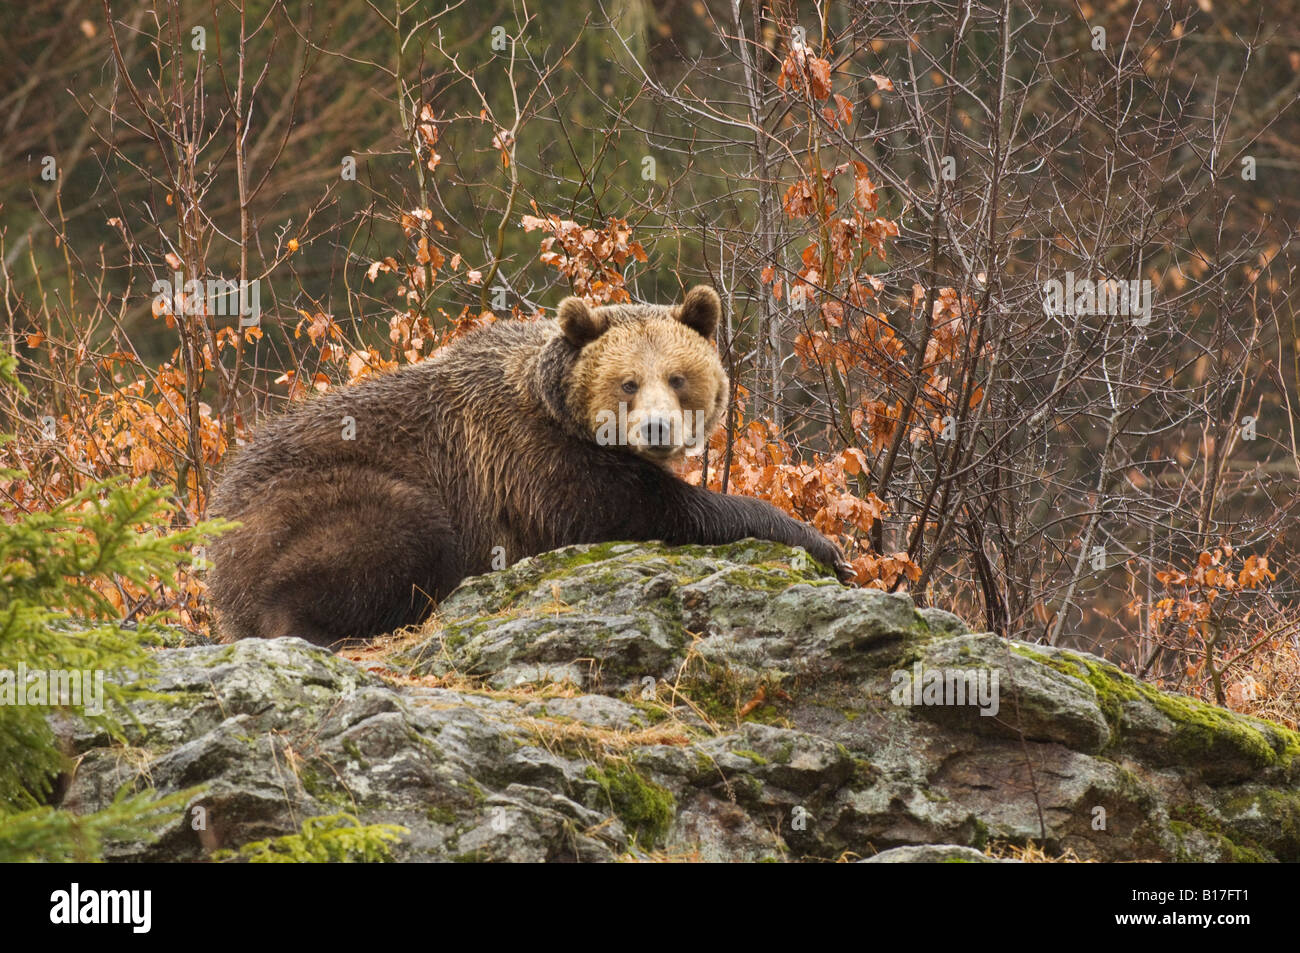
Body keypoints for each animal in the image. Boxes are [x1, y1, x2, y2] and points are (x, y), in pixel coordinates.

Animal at [207, 286, 850, 647]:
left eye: (677, 377)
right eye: (628, 382)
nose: (657, 429)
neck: (559, 408)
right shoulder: (528, 462)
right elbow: (649, 510)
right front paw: (823, 544)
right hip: (312, 499)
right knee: (394, 532)